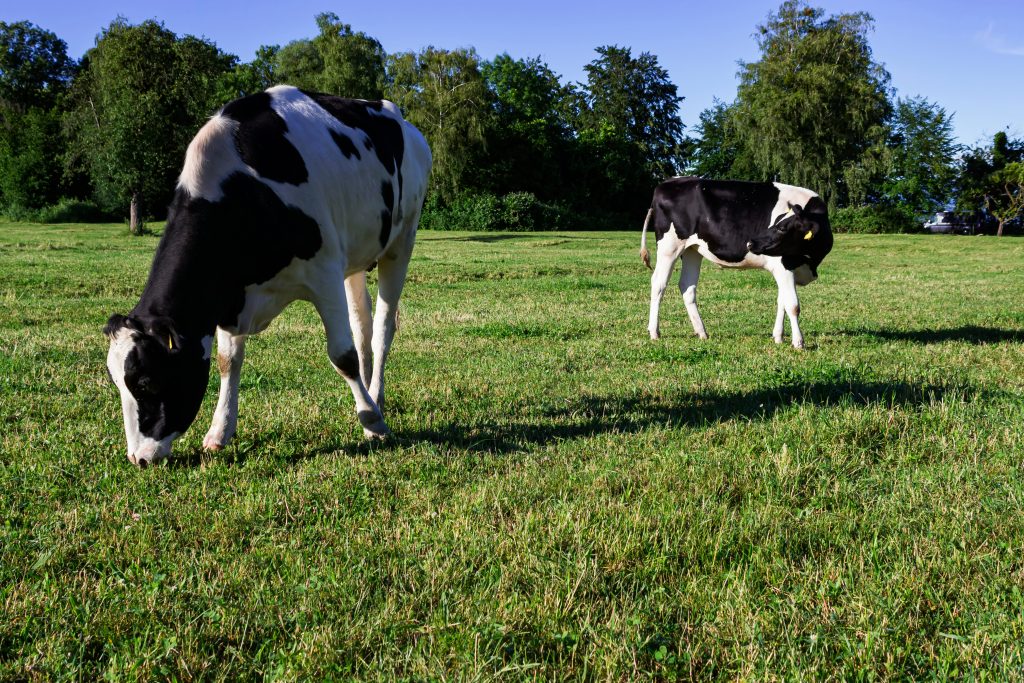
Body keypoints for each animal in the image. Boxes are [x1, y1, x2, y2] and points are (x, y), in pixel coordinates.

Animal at [104, 85, 432, 466]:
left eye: (147, 383)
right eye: (117, 383)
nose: (139, 458)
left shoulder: (324, 271)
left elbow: (342, 355)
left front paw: (373, 424)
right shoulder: (230, 294)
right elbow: (227, 361)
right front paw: (219, 432)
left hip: (401, 241)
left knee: (381, 329)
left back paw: (374, 400)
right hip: (355, 256)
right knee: (362, 326)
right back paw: (371, 397)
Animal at [639, 177, 833, 349]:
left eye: (782, 227)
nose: (750, 243)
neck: (810, 263)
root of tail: (668, 183)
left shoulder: (785, 270)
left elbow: (782, 302)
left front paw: (778, 337)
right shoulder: (783, 266)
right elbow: (792, 305)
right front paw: (798, 342)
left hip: (691, 250)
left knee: (687, 286)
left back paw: (702, 332)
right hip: (669, 247)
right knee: (658, 284)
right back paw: (654, 332)